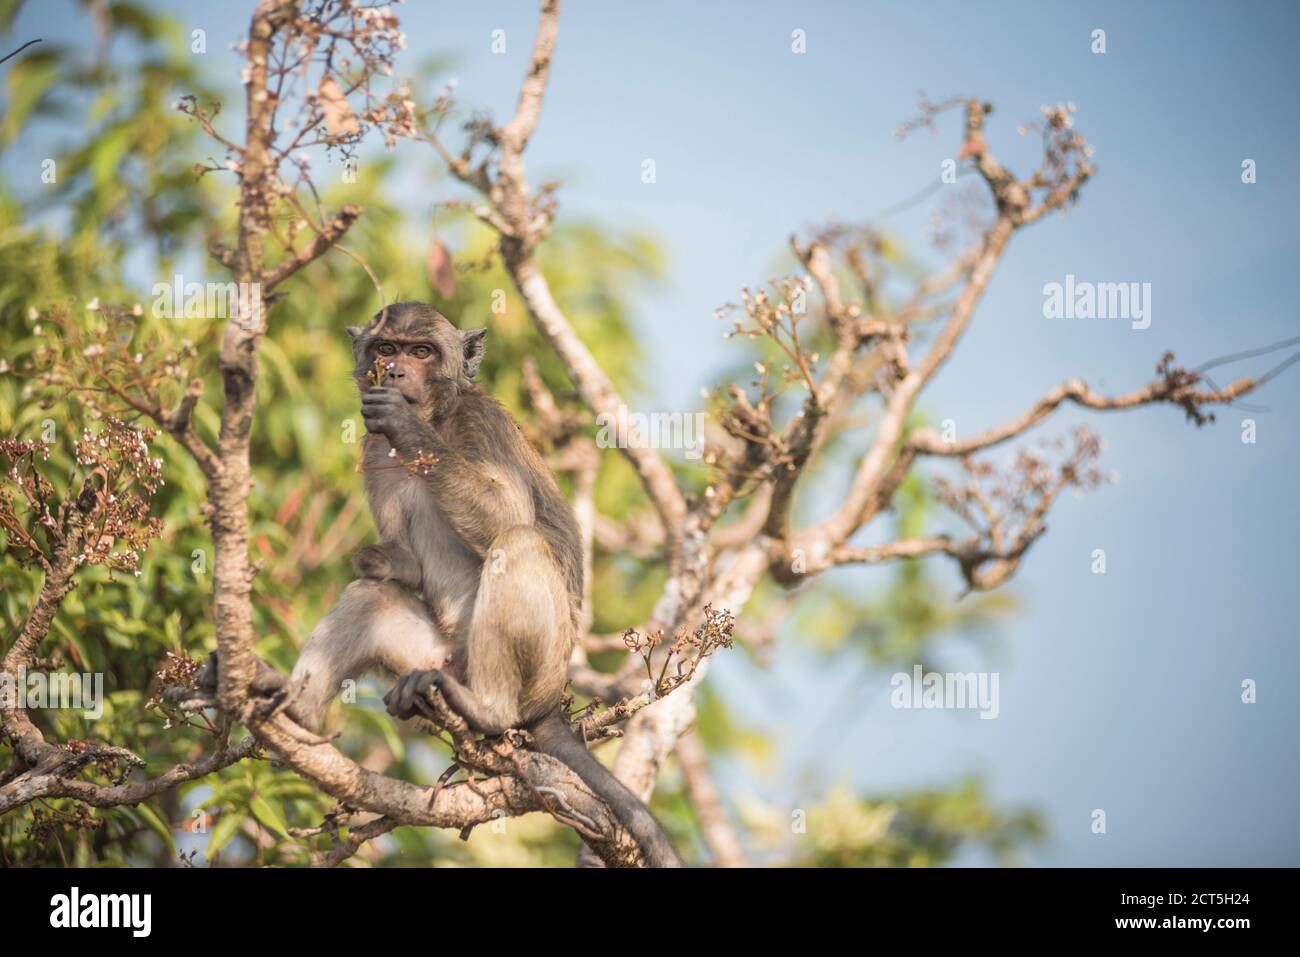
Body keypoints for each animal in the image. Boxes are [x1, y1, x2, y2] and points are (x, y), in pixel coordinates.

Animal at [200, 301, 682, 868]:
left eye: (422, 351)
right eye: (387, 348)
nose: (395, 373)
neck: (438, 416)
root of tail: (549, 704)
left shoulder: (481, 424)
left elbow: (509, 512)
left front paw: (405, 425)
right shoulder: (373, 450)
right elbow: (401, 567)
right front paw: (374, 560)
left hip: (537, 671)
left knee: (517, 541)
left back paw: (488, 710)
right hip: (431, 655)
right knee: (372, 598)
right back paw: (298, 707)